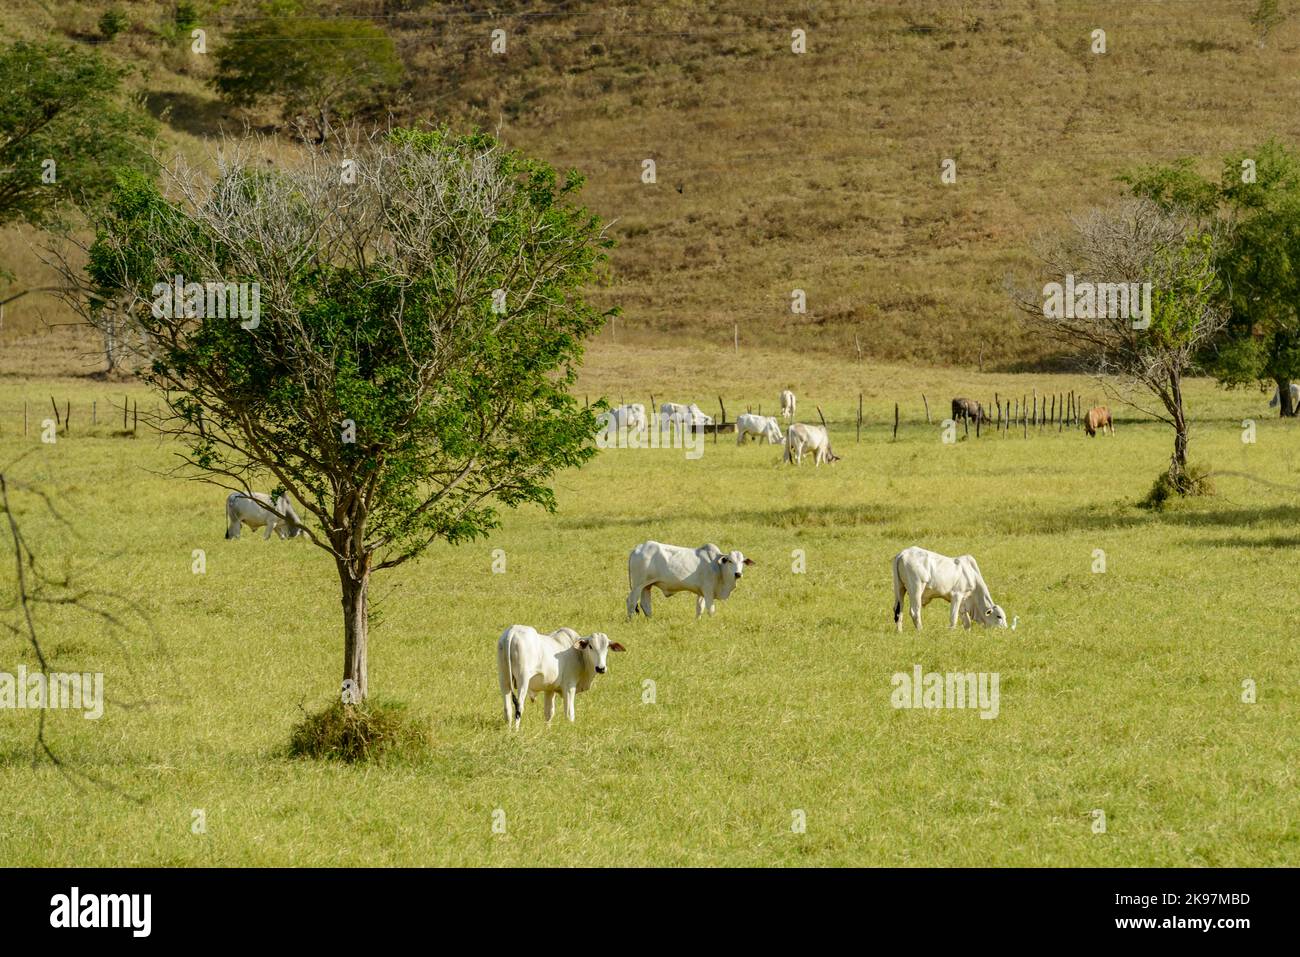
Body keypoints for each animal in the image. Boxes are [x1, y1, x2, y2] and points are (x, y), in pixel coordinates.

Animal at [496, 625, 625, 728]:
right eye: (591, 646)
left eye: (607, 647)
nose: (601, 668)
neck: (579, 654)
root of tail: (512, 631)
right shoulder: (569, 687)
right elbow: (569, 713)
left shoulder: (549, 689)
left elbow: (549, 713)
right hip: (523, 680)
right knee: (519, 707)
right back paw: (516, 731)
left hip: (504, 679)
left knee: (507, 709)